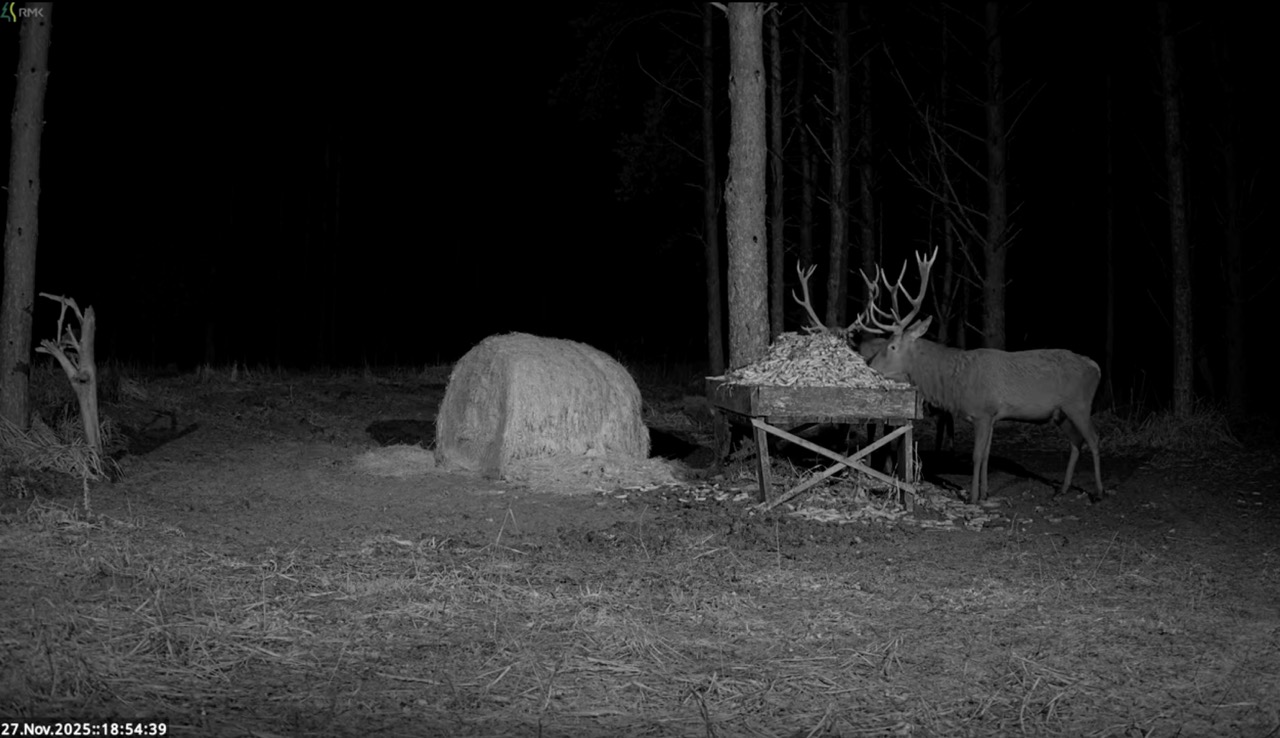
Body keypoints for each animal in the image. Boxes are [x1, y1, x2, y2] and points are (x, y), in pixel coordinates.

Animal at [841, 249, 1106, 504]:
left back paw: (1099, 492)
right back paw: (1062, 490)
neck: (955, 383)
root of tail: (1095, 367)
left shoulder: (983, 412)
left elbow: (978, 456)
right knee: (1076, 442)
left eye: (892, 346)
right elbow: (986, 455)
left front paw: (973, 497)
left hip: (1079, 404)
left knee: (1093, 439)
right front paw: (985, 493)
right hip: (1060, 413)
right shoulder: (992, 416)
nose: (869, 364)